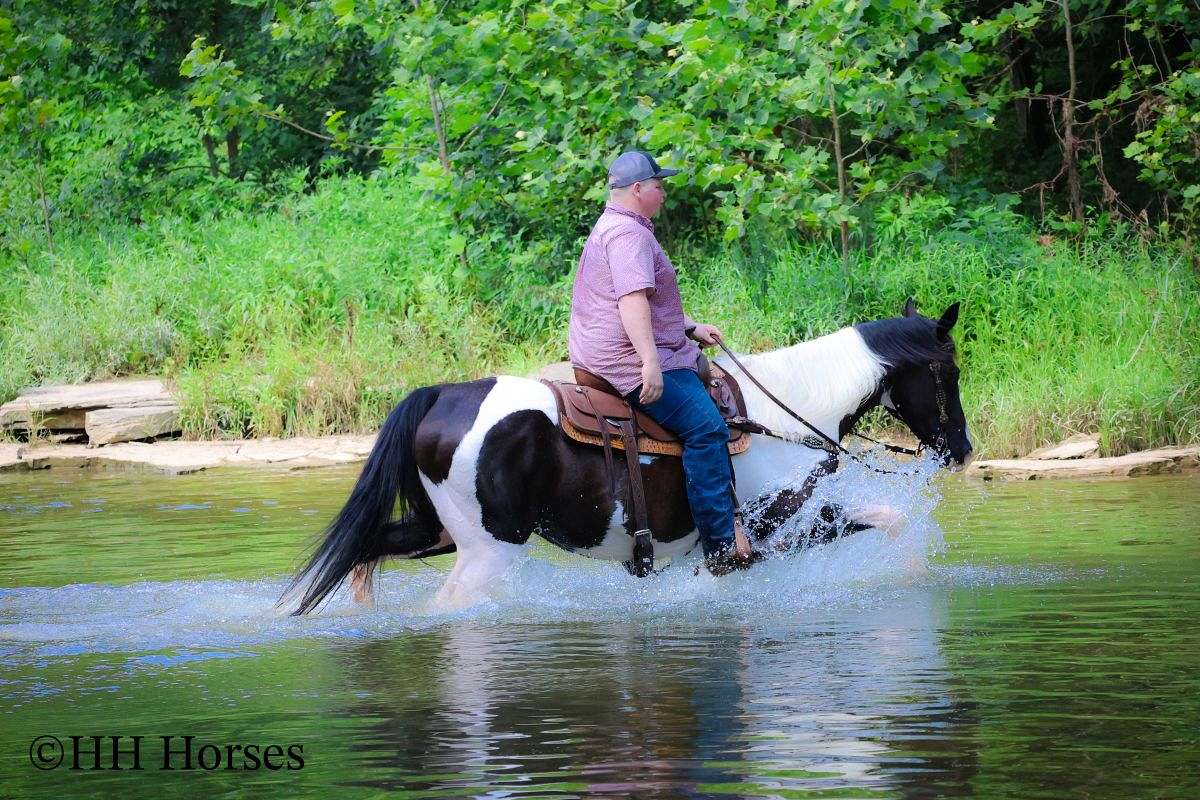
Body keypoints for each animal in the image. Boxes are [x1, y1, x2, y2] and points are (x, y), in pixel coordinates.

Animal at [282, 299, 972, 614]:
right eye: (950, 372)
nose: (962, 450)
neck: (789, 414)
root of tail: (446, 393)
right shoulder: (780, 520)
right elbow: (892, 522)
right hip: (485, 551)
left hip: (438, 532)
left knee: (368, 551)